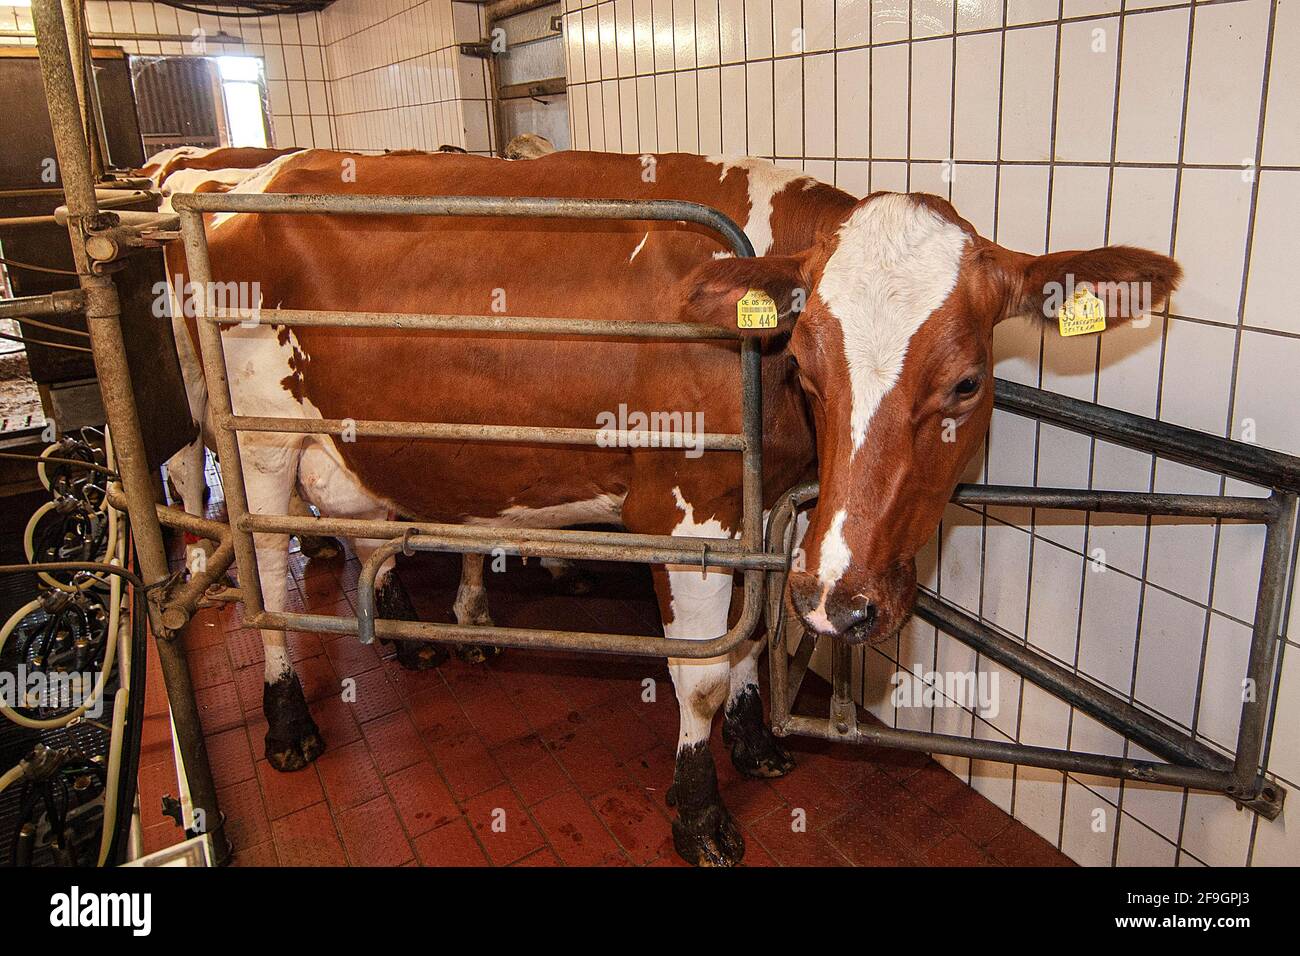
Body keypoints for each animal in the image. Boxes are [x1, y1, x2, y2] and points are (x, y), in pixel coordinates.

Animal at [172, 149, 1180, 865]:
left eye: (967, 382)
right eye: (806, 367)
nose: (845, 601)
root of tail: (248, 180)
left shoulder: (771, 510)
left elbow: (758, 637)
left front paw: (755, 739)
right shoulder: (686, 512)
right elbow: (698, 669)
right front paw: (698, 811)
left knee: (357, 537)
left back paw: (410, 634)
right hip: (256, 441)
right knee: (268, 577)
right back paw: (290, 722)